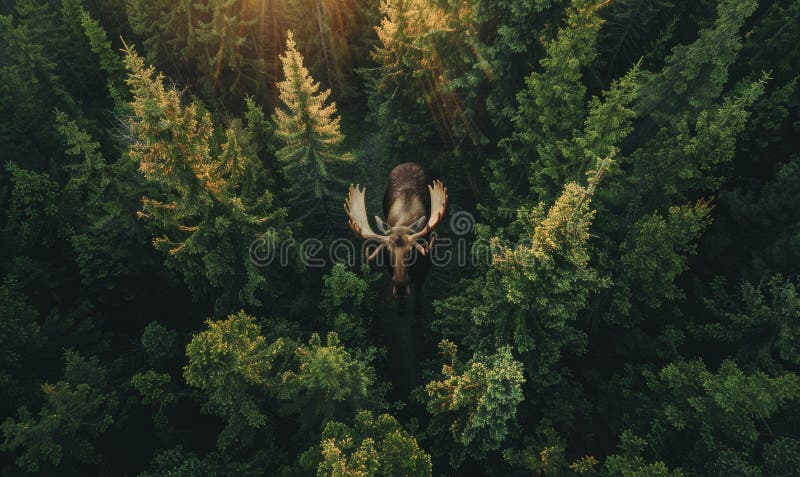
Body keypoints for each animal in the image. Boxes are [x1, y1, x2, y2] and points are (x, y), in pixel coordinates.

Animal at [344, 162, 448, 299]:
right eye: (388, 251)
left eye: (411, 252)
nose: (400, 288)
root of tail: (408, 163)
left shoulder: (424, 269)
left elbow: (417, 297)